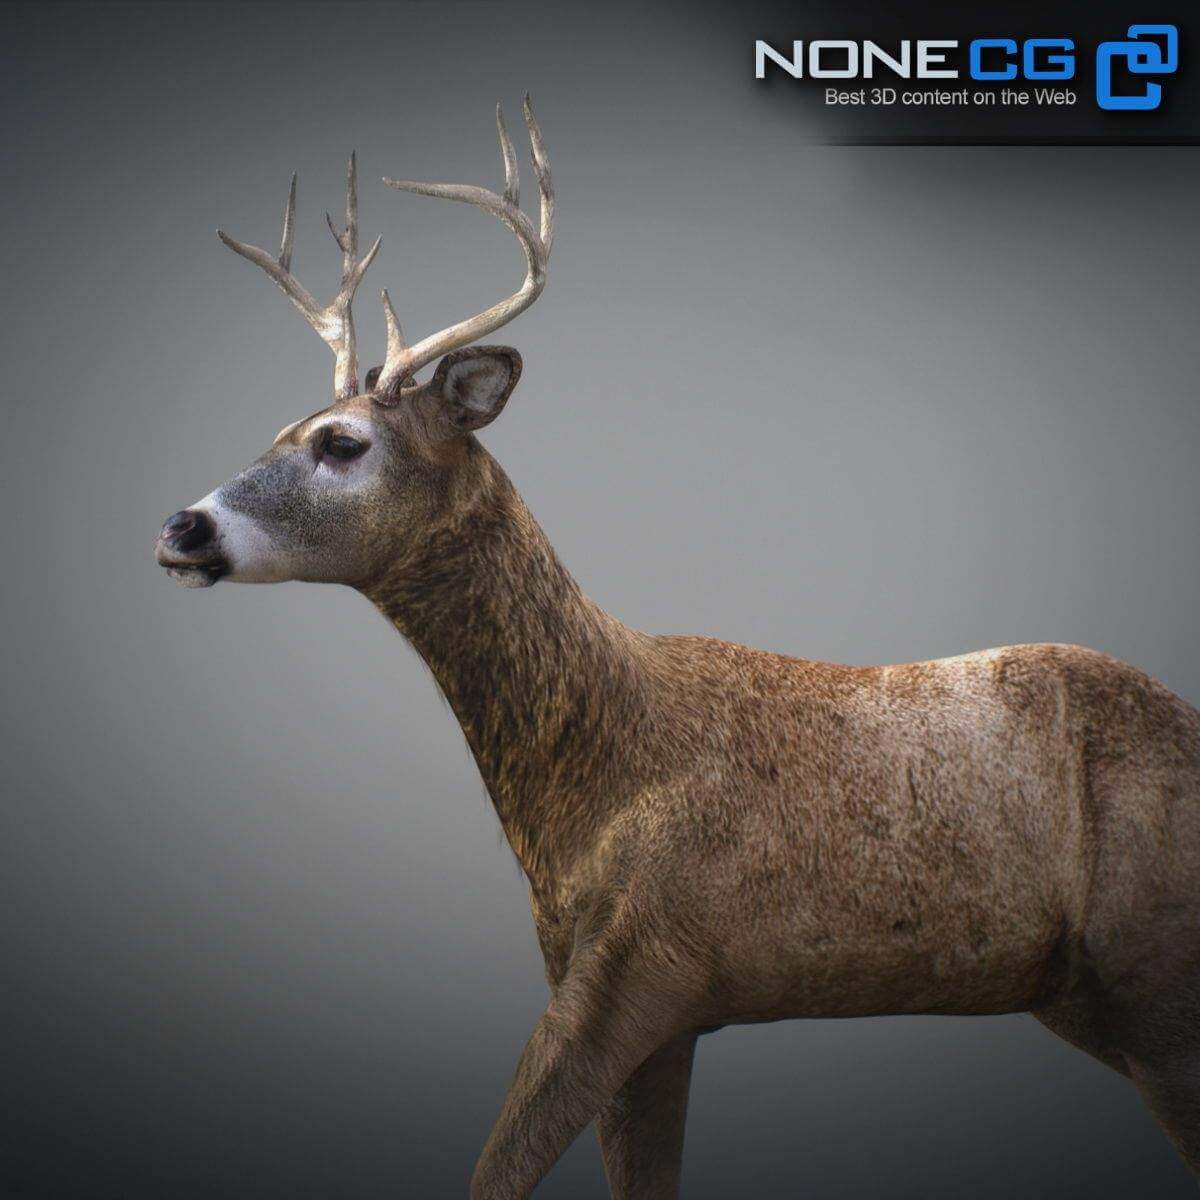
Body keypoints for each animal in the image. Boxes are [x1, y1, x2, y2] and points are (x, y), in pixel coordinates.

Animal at [155, 99, 1200, 1198]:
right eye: (283, 428)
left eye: (343, 443)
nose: (181, 527)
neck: (591, 778)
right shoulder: (620, 983)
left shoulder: (650, 960)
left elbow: (500, 1167)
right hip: (1077, 989)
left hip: (1161, 966)